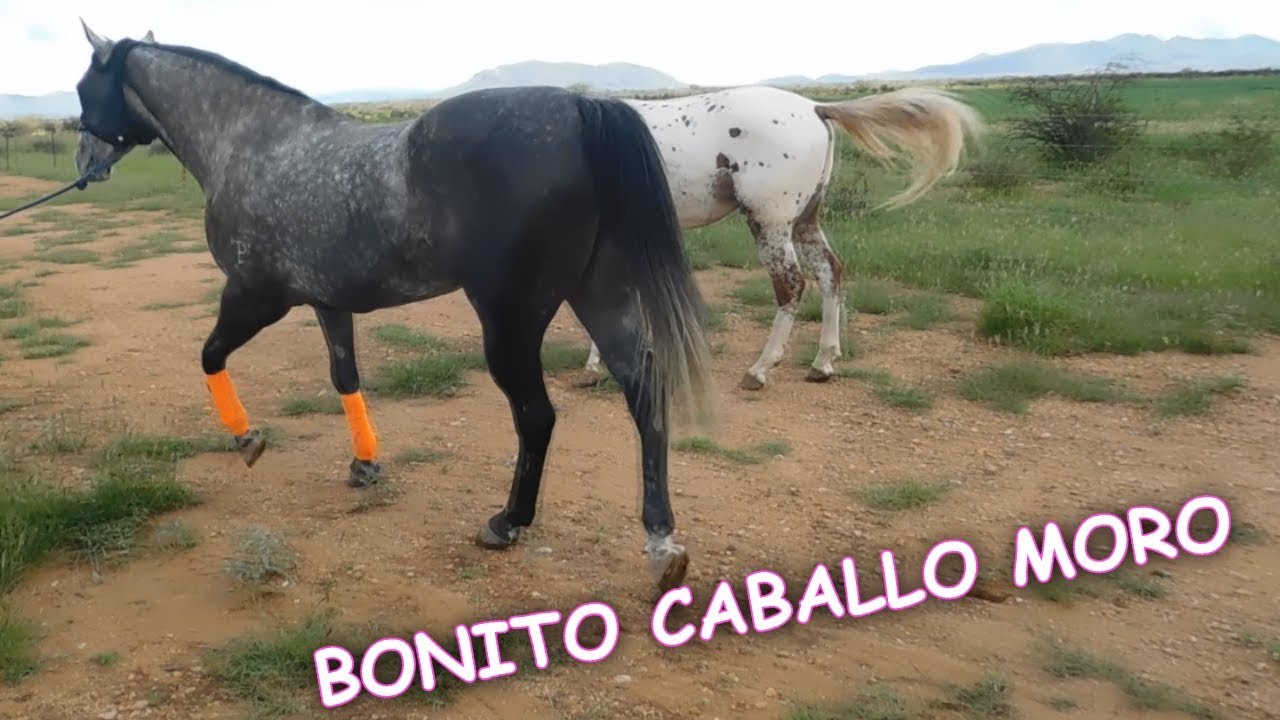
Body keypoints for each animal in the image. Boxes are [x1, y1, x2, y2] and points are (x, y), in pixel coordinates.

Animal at [71, 22, 716, 593]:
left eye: (83, 88)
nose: (83, 162)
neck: (255, 146)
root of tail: (580, 109)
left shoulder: (255, 296)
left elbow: (209, 356)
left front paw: (247, 439)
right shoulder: (328, 302)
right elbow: (345, 376)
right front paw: (364, 464)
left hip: (512, 319)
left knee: (536, 416)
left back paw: (507, 523)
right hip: (600, 295)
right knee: (643, 391)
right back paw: (661, 541)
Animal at [577, 84, 985, 391]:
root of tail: (816, 108)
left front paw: (597, 365)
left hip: (770, 223)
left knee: (792, 285)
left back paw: (759, 371)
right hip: (805, 220)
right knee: (830, 273)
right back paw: (822, 363)